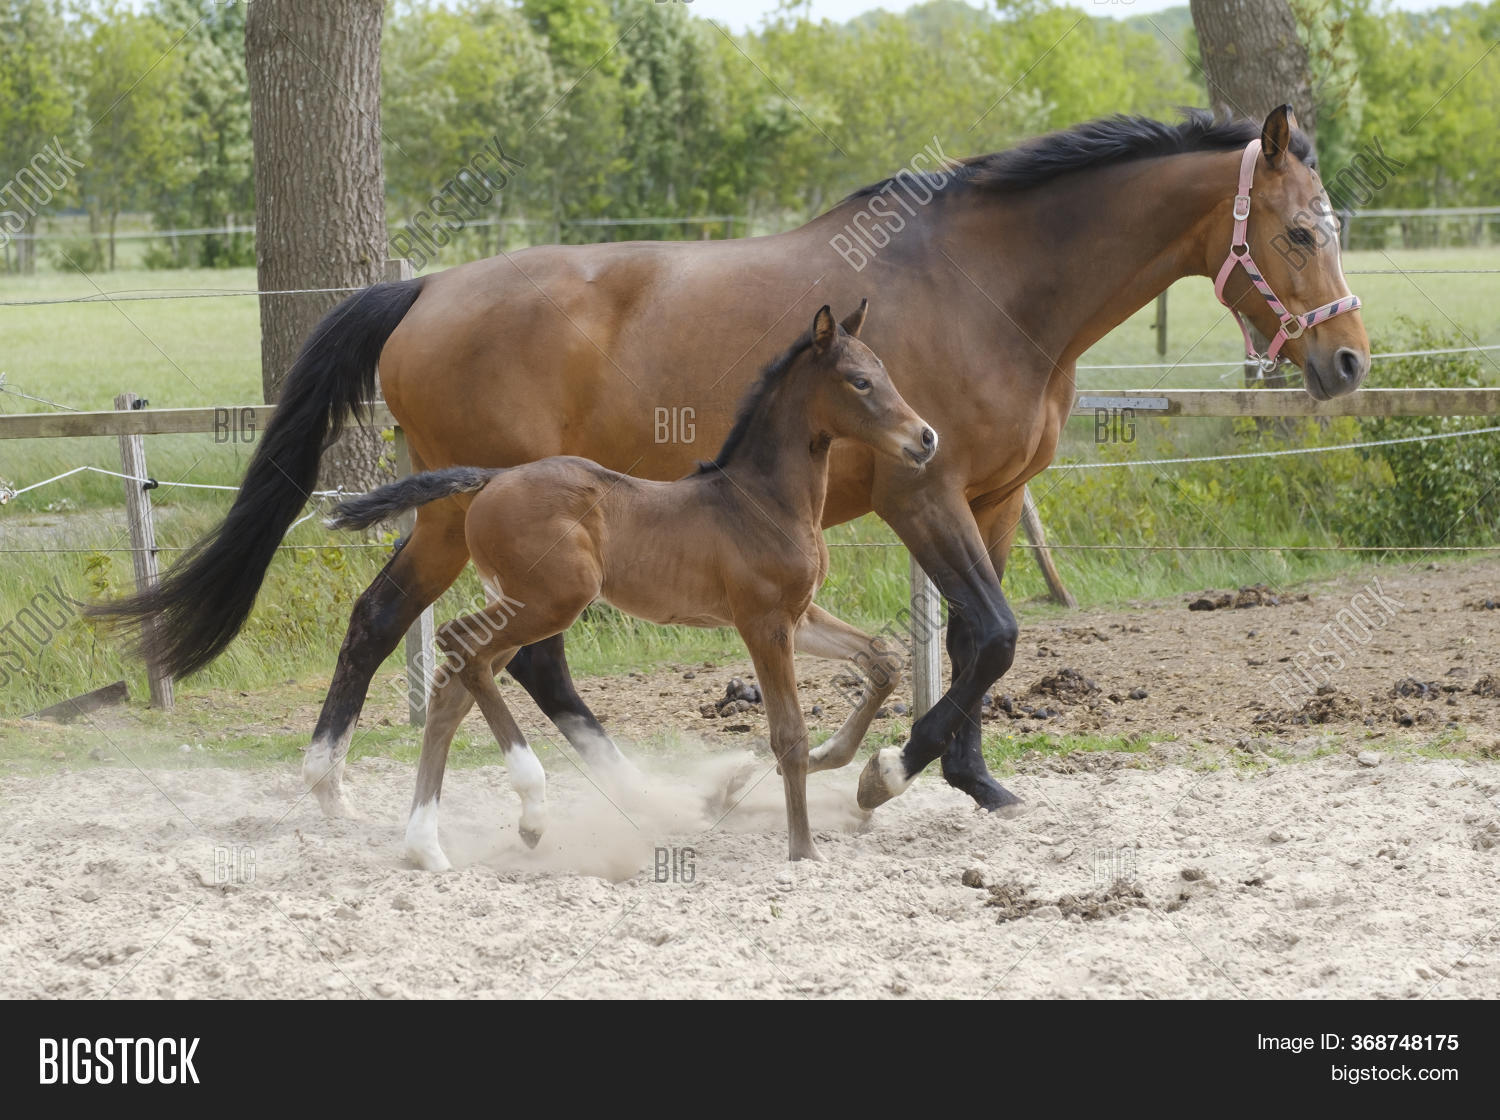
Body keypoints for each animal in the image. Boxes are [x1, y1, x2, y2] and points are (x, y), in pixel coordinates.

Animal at [326, 301, 934, 865]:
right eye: (860, 381)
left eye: (885, 373)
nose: (926, 438)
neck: (764, 501)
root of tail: (491, 479)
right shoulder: (763, 622)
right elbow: (788, 733)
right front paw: (803, 851)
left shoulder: (800, 615)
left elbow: (882, 659)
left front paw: (852, 768)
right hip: (552, 601)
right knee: (460, 644)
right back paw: (531, 807)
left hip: (519, 606)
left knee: (455, 685)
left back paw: (427, 847)